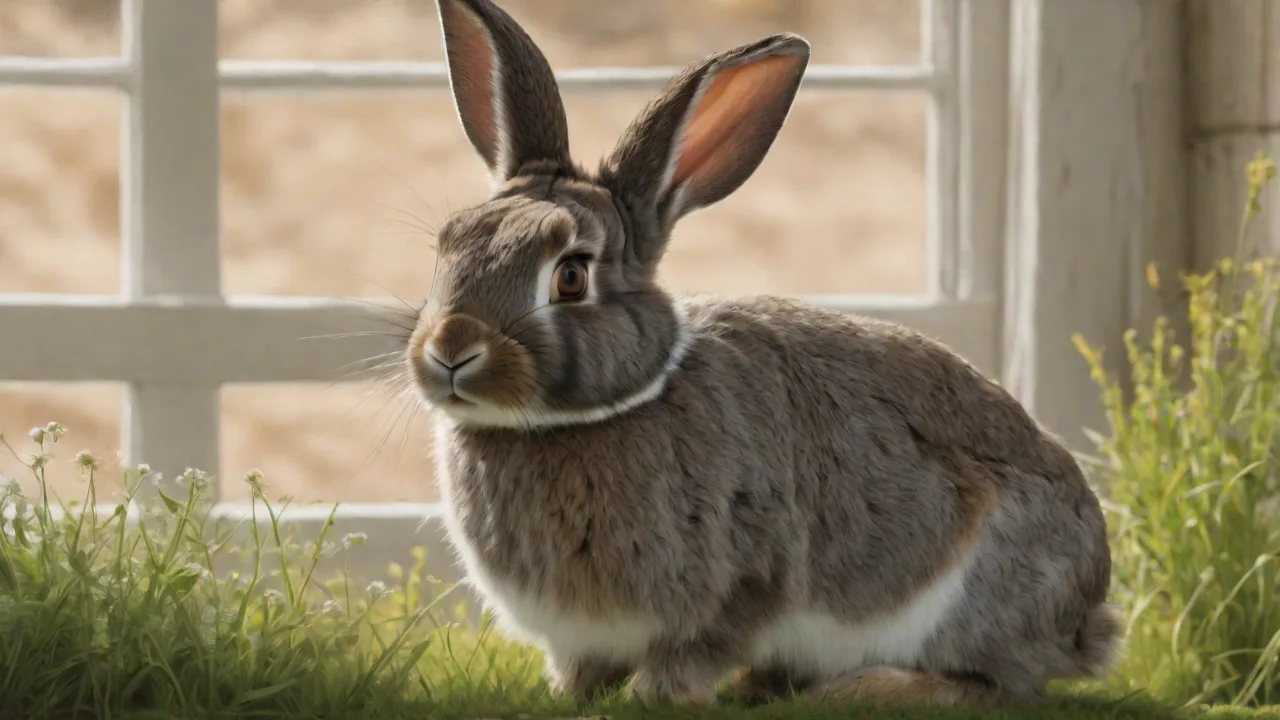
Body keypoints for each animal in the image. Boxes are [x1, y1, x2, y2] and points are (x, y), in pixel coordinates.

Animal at [405, 0, 1122, 708]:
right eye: (449, 244)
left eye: (572, 276)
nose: (451, 349)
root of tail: (1087, 619)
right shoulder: (580, 637)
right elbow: (583, 671)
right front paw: (572, 696)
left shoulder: (743, 579)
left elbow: (696, 652)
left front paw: (650, 696)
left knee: (998, 687)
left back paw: (859, 689)